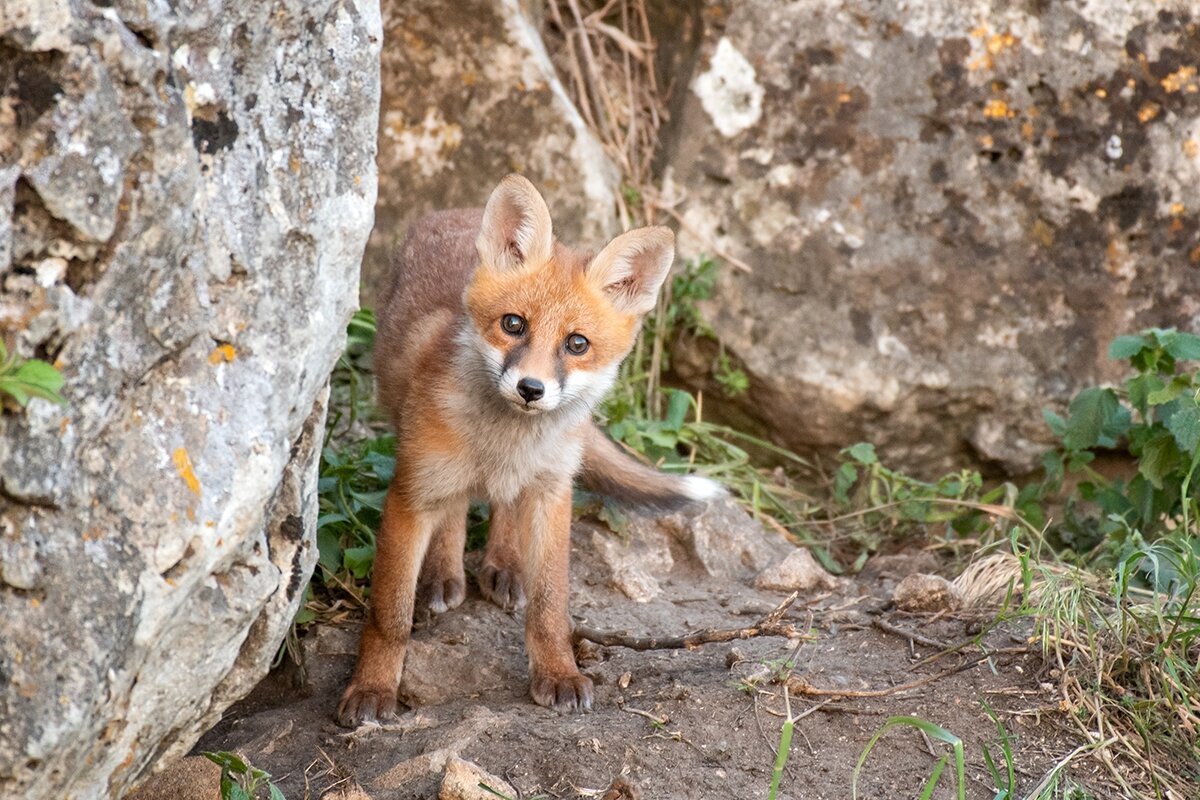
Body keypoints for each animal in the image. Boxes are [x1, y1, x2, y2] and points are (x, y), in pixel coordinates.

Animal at [333, 175, 715, 724]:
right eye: (513, 324)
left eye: (577, 344)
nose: (531, 389)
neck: (504, 446)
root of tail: (456, 211)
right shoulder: (410, 493)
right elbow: (390, 615)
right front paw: (372, 687)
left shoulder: (553, 494)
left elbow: (550, 605)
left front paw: (557, 672)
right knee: (456, 508)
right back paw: (443, 573)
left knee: (504, 508)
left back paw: (505, 564)